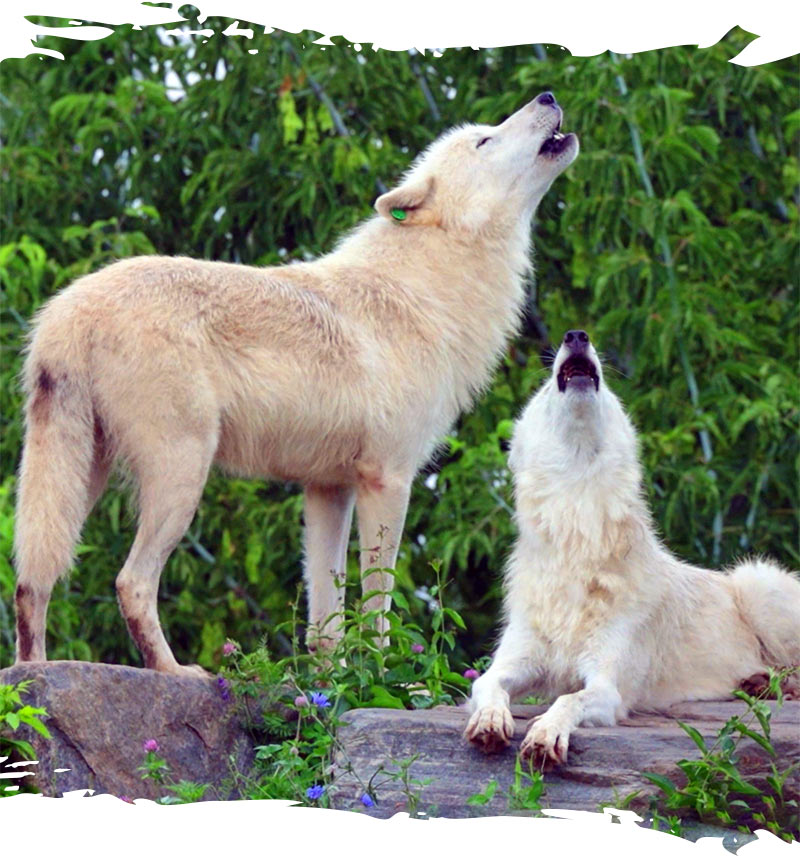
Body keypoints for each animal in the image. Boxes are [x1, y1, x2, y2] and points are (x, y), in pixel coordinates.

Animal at [13, 93, 579, 676]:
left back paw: (33, 670)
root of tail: (66, 311)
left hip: (80, 477)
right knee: (131, 582)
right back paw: (174, 671)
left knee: (31, 579)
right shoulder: (389, 479)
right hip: (180, 475)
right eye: (485, 140)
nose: (547, 96)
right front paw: (387, 676)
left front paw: (335, 681)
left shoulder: (328, 489)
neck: (424, 291)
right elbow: (377, 604)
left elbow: (325, 621)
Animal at [465, 329, 800, 763]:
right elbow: (487, 686)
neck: (578, 531)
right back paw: (757, 683)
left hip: (758, 582)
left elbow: (568, 700)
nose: (576, 335)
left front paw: (545, 735)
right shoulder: (512, 662)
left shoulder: (607, 686)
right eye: (544, 391)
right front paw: (490, 721)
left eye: (607, 389)